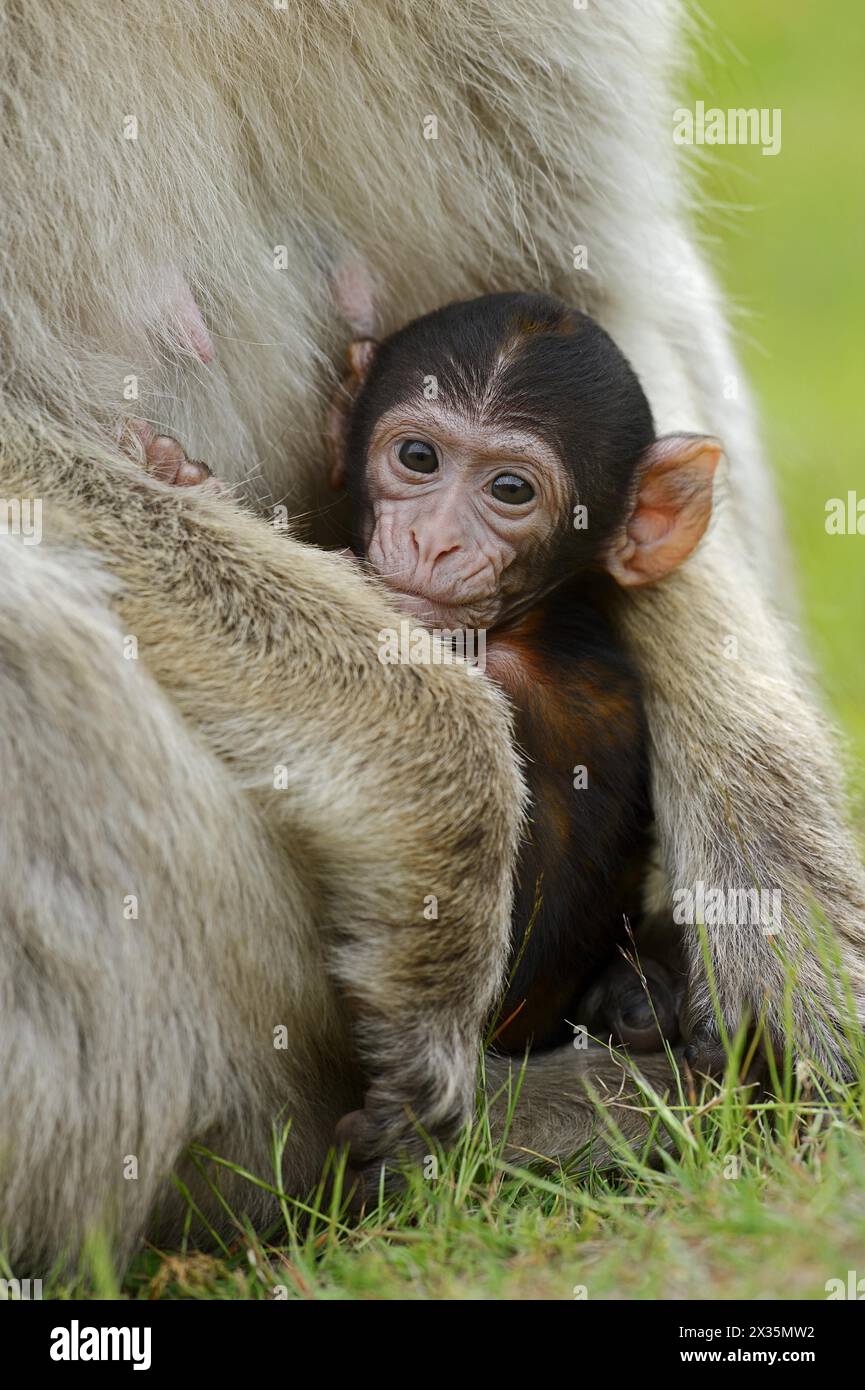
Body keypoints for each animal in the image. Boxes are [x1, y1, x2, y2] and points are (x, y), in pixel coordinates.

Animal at [1, 0, 863, 1268]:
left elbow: (590, 313)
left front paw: (781, 881)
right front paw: (443, 792)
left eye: (508, 490)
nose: (438, 545)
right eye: (415, 458)